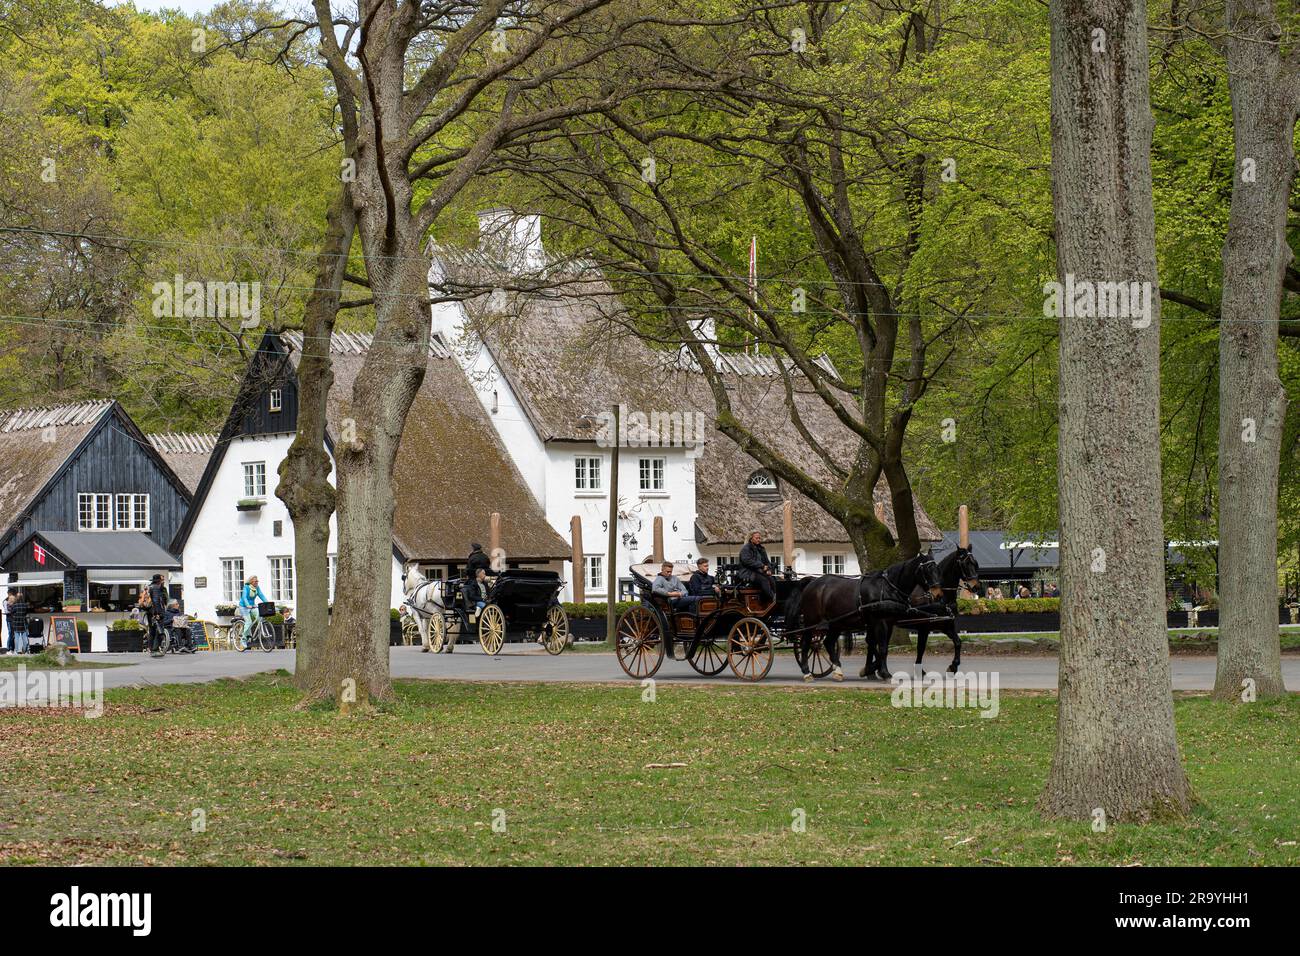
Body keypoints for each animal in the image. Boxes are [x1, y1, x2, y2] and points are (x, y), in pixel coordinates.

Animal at [788, 553, 943, 682]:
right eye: (927, 569)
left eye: (937, 568)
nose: (938, 594)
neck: (886, 588)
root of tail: (812, 582)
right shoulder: (879, 622)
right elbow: (882, 647)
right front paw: (884, 673)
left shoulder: (889, 623)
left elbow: (880, 646)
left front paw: (871, 670)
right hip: (812, 620)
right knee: (806, 643)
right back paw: (807, 672)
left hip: (836, 623)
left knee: (828, 643)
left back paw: (837, 670)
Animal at [910, 546, 980, 674]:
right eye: (965, 564)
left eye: (975, 563)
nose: (976, 587)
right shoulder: (924, 627)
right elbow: (921, 648)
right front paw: (919, 670)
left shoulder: (947, 625)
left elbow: (958, 642)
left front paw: (953, 666)